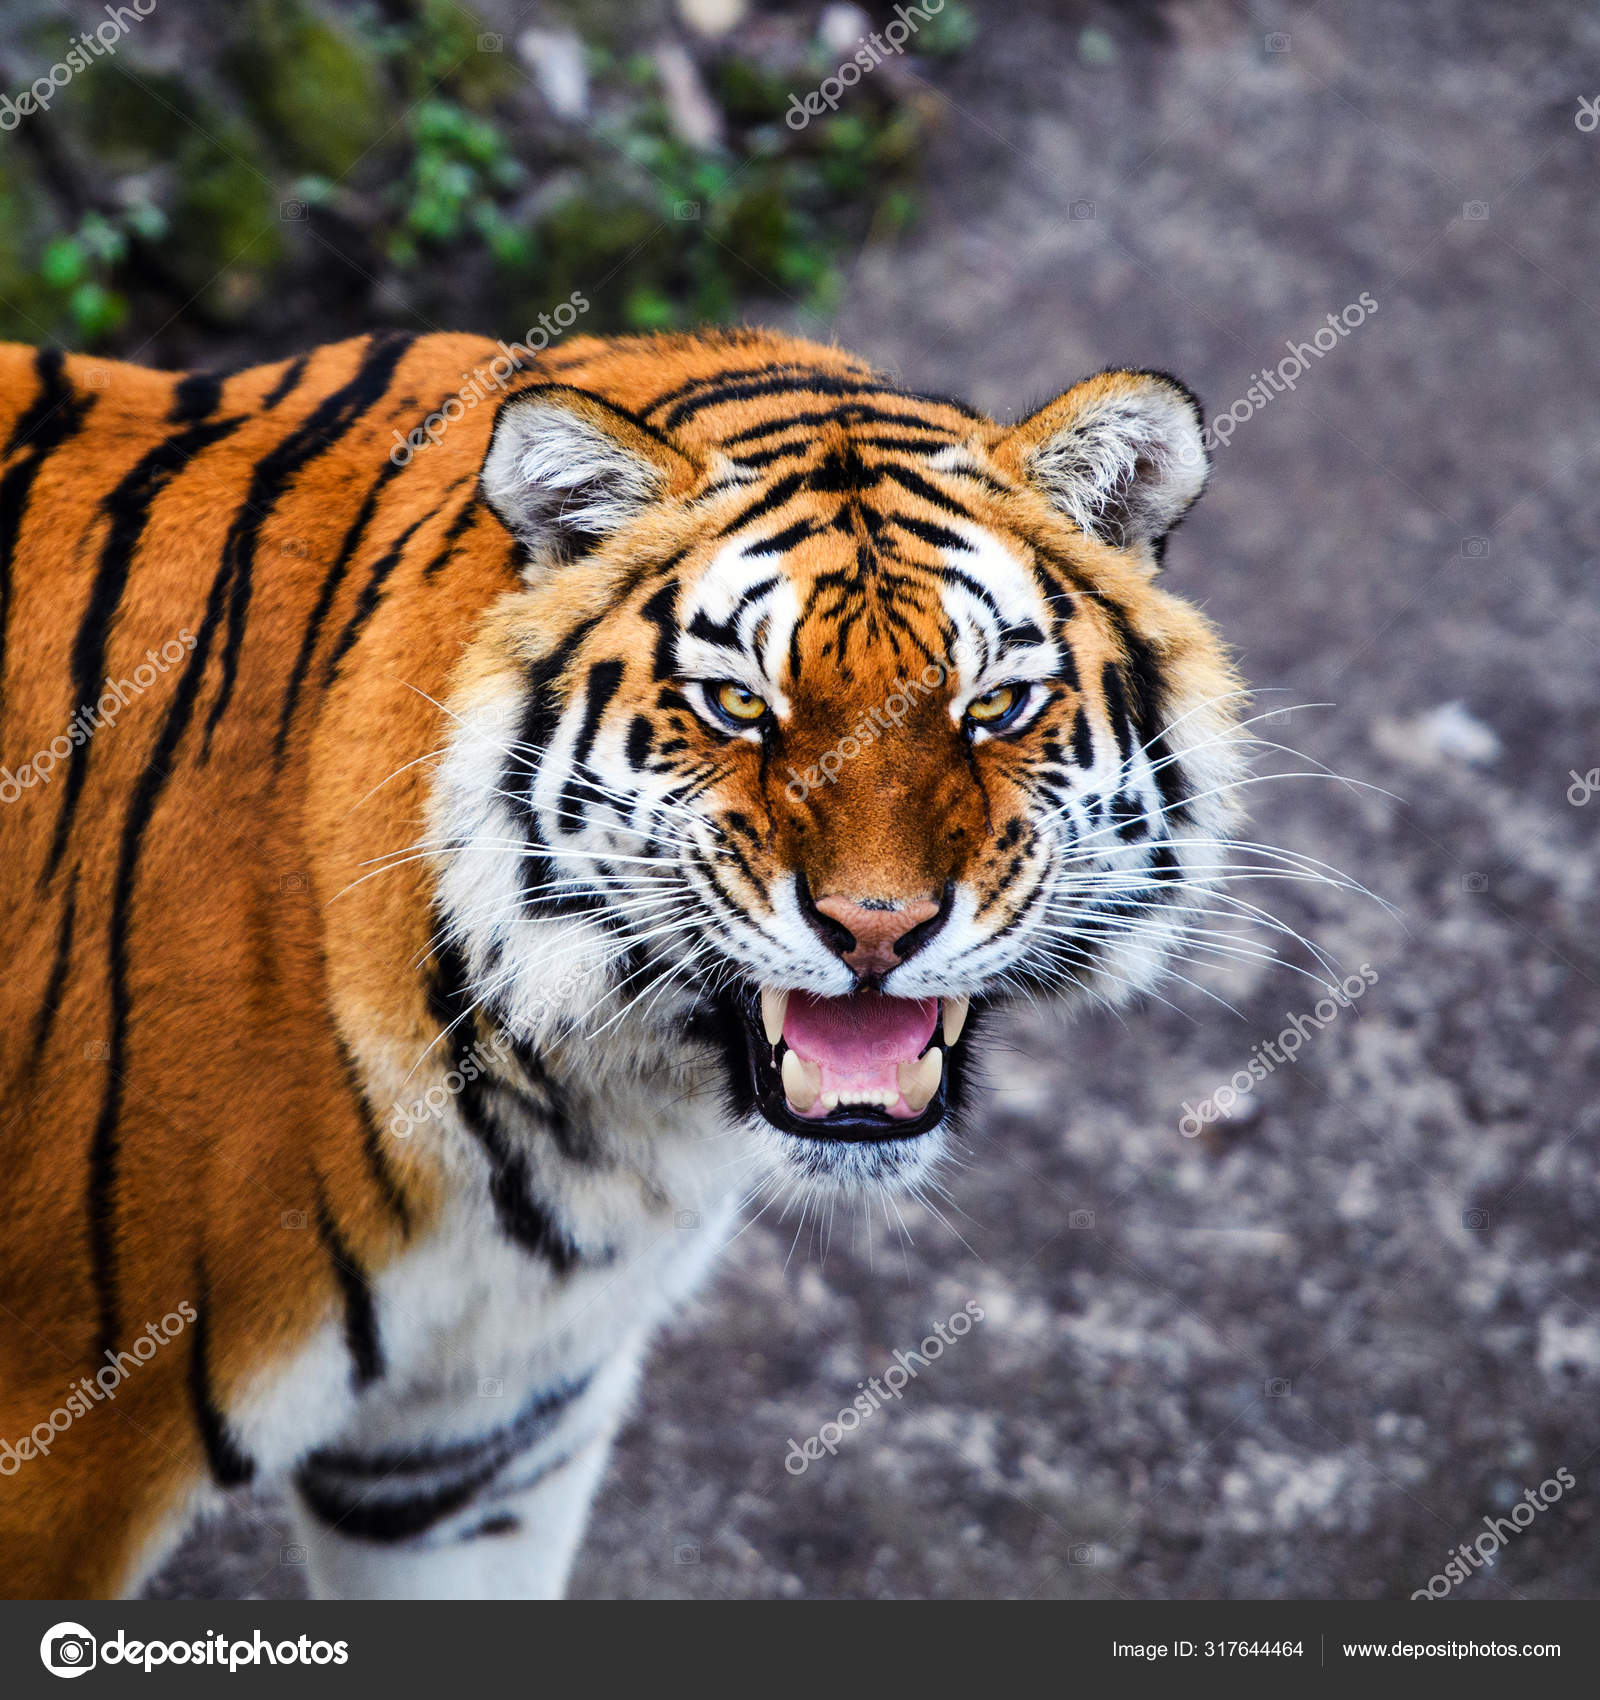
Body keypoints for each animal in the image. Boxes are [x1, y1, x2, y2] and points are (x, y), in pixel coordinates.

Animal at [0, 325, 1244, 1599]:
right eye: (737, 702)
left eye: (993, 705)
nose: (876, 926)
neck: (594, 1109)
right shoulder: (56, 1467)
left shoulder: (469, 1455)